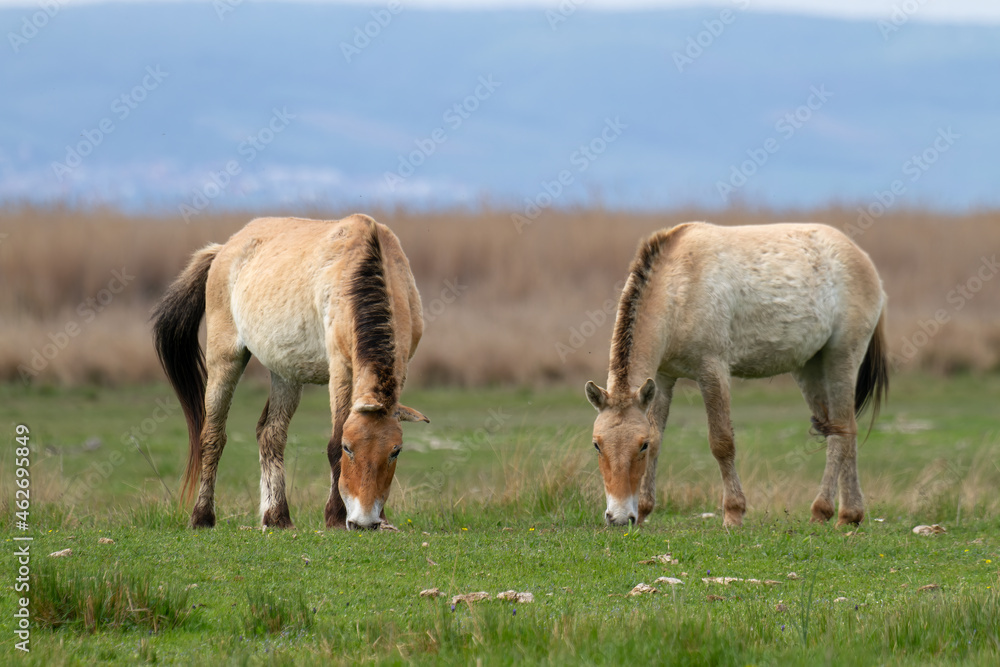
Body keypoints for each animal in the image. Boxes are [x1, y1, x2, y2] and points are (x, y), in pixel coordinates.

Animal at [152, 214, 429, 531]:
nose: (363, 521)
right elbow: (332, 441)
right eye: (348, 448)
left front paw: (382, 519)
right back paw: (202, 517)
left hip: (286, 374)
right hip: (225, 361)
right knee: (212, 438)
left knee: (270, 435)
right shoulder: (340, 369)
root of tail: (224, 249)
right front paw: (335, 517)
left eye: (395, 451)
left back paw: (276, 517)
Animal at [585, 222, 888, 528]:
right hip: (811, 367)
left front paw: (733, 513)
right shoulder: (663, 377)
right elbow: (660, 437)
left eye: (641, 446)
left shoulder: (712, 370)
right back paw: (849, 514)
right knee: (841, 431)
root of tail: (861, 257)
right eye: (597, 445)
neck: (680, 284)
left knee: (842, 432)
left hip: (841, 359)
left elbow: (721, 442)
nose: (619, 517)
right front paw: (645, 511)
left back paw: (827, 511)